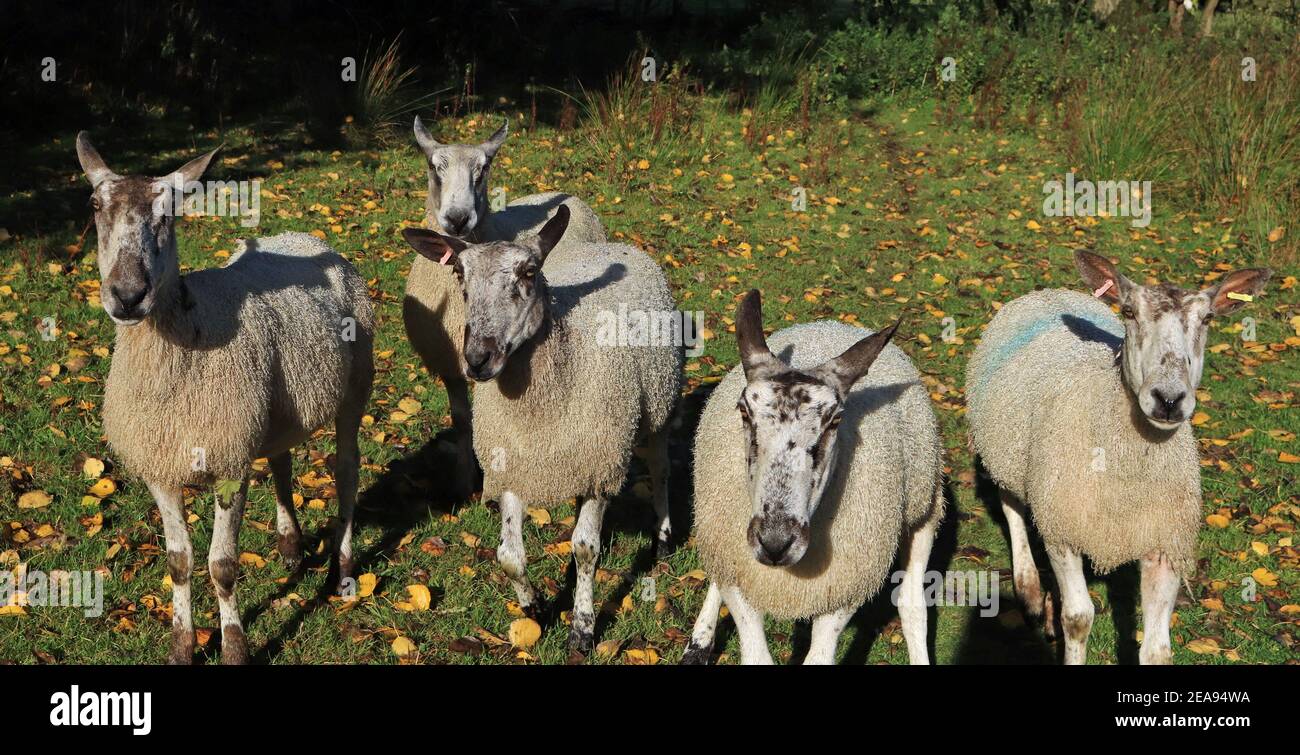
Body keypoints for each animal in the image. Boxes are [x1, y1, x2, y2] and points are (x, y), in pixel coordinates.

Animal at [76, 133, 374, 664]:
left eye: (170, 213)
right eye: (94, 206)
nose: (127, 295)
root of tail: (308, 238)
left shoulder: (230, 462)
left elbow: (222, 566)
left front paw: (234, 646)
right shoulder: (161, 461)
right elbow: (178, 561)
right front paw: (181, 646)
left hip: (355, 387)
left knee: (346, 470)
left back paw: (341, 569)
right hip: (275, 407)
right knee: (281, 460)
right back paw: (290, 544)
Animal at [400, 205, 681, 654]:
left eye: (529, 272)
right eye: (459, 274)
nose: (477, 359)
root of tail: (619, 246)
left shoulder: (600, 463)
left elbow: (586, 550)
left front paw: (582, 628)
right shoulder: (511, 465)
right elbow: (508, 556)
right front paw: (534, 606)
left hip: (660, 401)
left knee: (661, 469)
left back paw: (665, 537)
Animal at [404, 117, 607, 495]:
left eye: (483, 169)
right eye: (434, 167)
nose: (458, 219)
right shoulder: (449, 362)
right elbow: (462, 420)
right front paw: (463, 480)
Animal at [682, 289, 943, 665]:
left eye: (835, 420)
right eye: (744, 410)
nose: (775, 542)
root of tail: (834, 324)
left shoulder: (841, 586)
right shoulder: (738, 561)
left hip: (924, 507)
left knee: (912, 605)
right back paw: (699, 641)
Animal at [965, 250, 1270, 664]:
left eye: (1207, 318)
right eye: (1128, 311)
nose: (1169, 400)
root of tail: (1048, 291)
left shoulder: (1163, 537)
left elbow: (1157, 649)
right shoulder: (1065, 528)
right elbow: (1078, 618)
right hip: (1005, 446)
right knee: (1011, 504)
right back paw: (1028, 590)